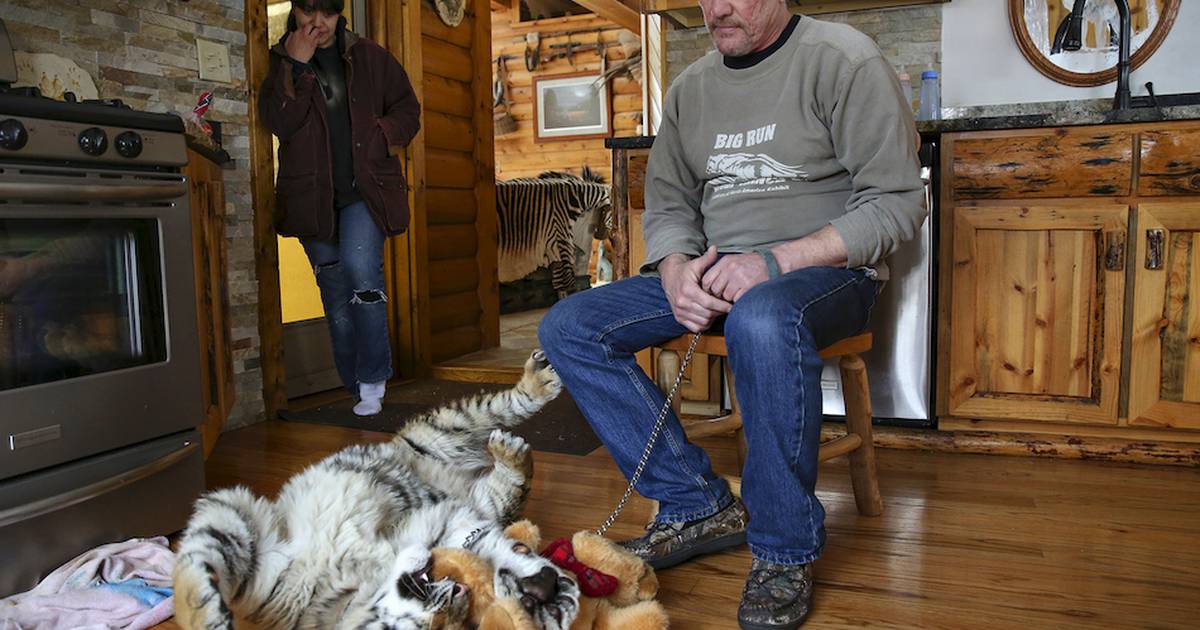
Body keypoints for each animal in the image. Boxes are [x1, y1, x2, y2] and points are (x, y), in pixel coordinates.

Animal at [172, 350, 580, 630]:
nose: (455, 592)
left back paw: (533, 394)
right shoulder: (251, 532)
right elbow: (193, 562)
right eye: (441, 626)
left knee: (501, 420)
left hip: (447, 433)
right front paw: (205, 617)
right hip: (453, 455)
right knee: (501, 474)